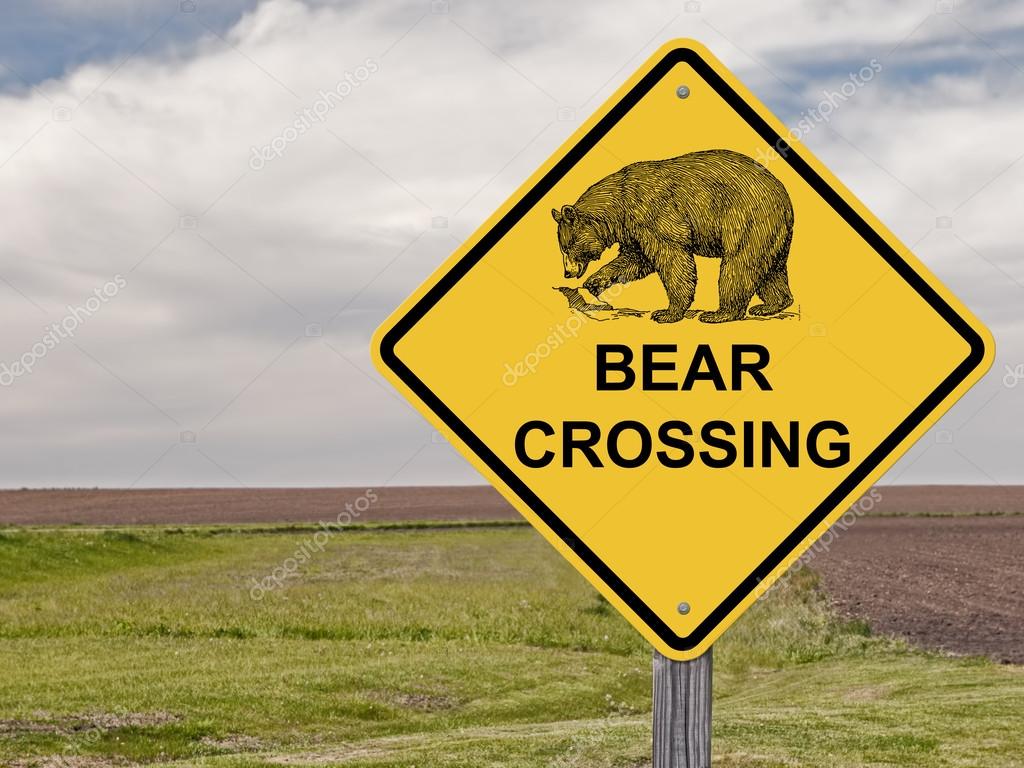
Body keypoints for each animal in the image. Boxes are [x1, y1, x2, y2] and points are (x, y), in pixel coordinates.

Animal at [551, 149, 794, 323]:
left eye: (567, 247)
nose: (567, 273)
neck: (618, 206)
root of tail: (784, 198)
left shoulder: (652, 212)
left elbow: (671, 256)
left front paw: (667, 312)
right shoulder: (632, 228)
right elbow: (635, 258)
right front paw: (596, 281)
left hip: (747, 218)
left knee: (740, 263)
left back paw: (719, 313)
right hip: (773, 233)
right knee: (771, 269)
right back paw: (771, 305)